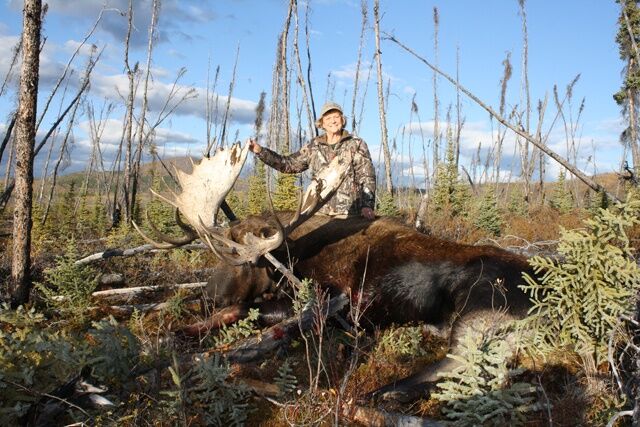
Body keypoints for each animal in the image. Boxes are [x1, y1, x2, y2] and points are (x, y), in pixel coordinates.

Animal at [134, 140, 537, 402]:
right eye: (215, 257)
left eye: (246, 262)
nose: (208, 295)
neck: (293, 253)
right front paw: (178, 328)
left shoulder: (328, 298)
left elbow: (253, 316)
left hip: (479, 308)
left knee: (465, 365)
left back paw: (382, 393)